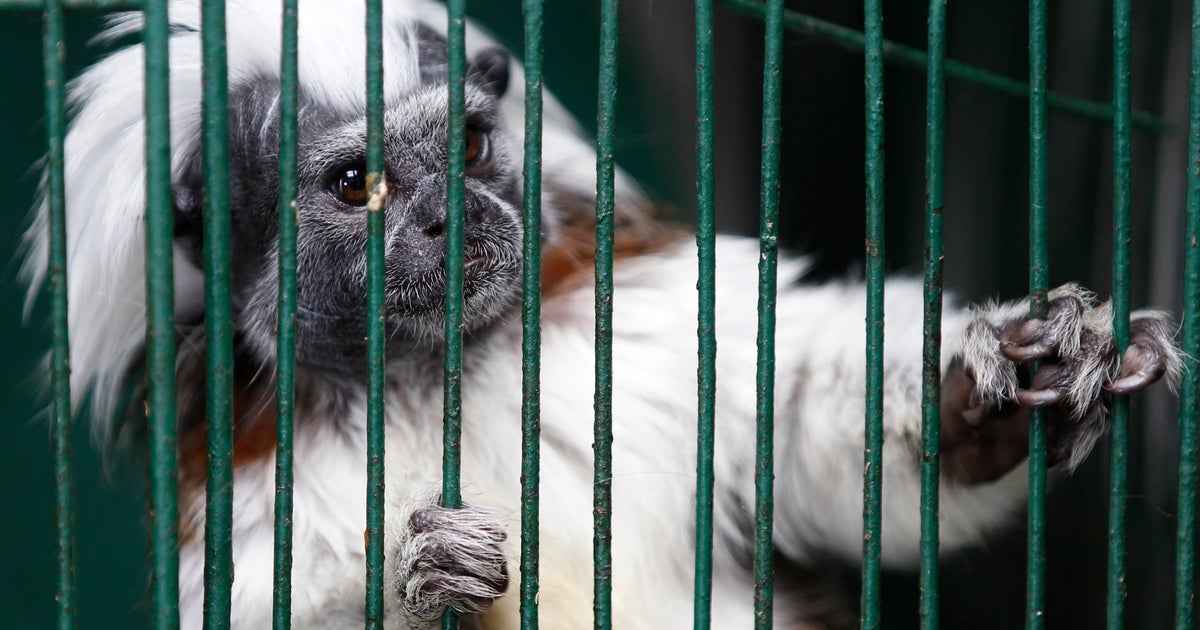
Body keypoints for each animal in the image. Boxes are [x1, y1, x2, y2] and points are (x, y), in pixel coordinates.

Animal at [18, 1, 1183, 628]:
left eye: (471, 146)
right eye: (360, 186)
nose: (451, 214)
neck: (436, 376)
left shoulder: (649, 326)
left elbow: (811, 435)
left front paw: (994, 401)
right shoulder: (252, 506)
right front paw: (425, 584)